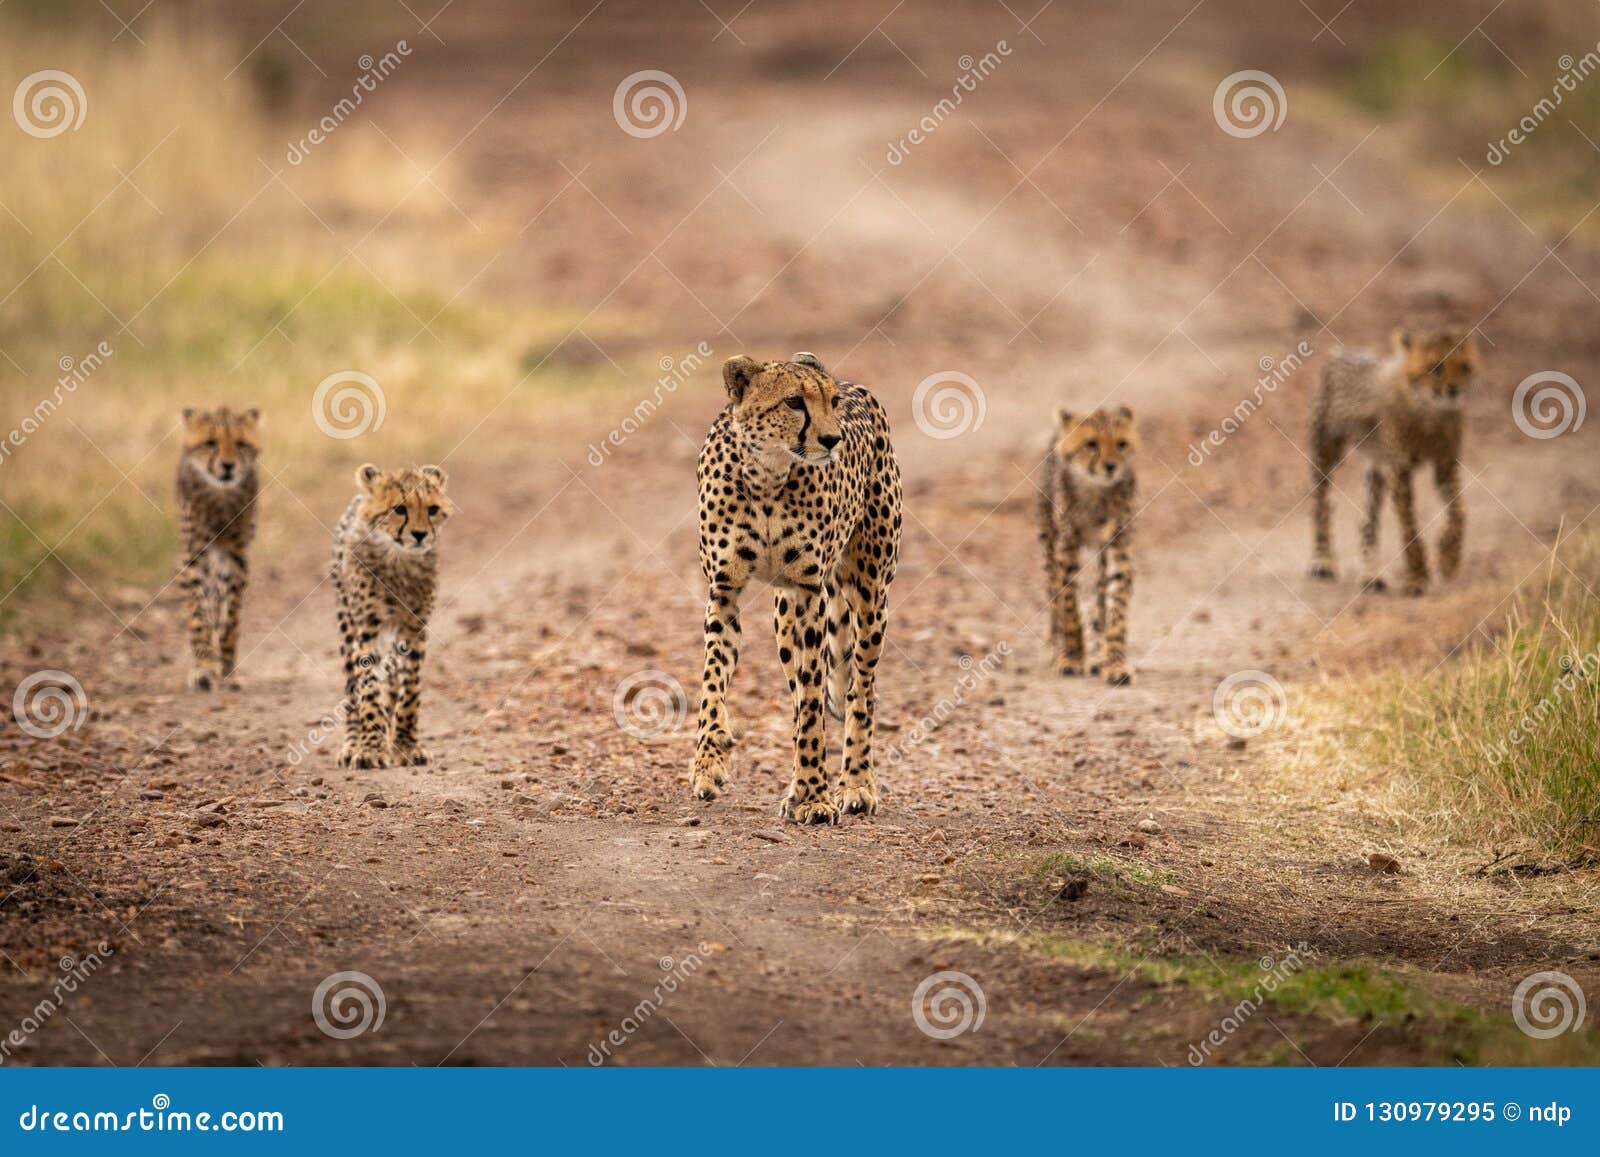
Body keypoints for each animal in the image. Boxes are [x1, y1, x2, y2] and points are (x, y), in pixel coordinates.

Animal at [175, 406, 261, 692]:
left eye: (241, 444)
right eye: (211, 443)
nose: (228, 466)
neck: (220, 494)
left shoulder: (236, 556)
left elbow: (230, 618)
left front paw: (227, 670)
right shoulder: (193, 556)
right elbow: (198, 616)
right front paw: (204, 668)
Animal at [331, 463, 453, 770]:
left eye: (432, 509)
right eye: (399, 509)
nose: (420, 535)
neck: (398, 556)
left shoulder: (414, 628)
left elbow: (409, 691)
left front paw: (405, 745)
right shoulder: (365, 629)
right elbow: (367, 689)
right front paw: (370, 748)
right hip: (346, 622)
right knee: (352, 686)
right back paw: (353, 742)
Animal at [692, 351, 903, 825]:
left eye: (832, 401)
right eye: (793, 402)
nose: (831, 439)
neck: (767, 476)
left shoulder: (811, 592)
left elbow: (811, 701)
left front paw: (815, 795)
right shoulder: (725, 591)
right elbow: (712, 683)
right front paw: (709, 763)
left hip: (870, 595)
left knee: (861, 689)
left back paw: (855, 785)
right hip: (784, 612)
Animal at [1038, 405, 1138, 685]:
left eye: (1122, 444)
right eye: (1092, 444)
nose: (1111, 466)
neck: (1096, 491)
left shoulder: (1117, 546)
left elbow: (1116, 608)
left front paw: (1114, 663)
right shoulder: (1066, 547)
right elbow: (1070, 607)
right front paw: (1071, 658)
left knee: (1099, 600)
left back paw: (1096, 654)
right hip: (1049, 541)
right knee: (1055, 599)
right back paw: (1058, 649)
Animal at [1309, 328, 1479, 596]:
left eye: (1464, 366)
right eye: (1436, 367)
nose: (1454, 390)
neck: (1429, 411)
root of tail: (1341, 352)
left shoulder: (1445, 465)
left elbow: (1459, 512)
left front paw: (1449, 559)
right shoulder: (1400, 470)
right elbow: (1409, 525)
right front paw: (1418, 576)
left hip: (1376, 469)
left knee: (1367, 522)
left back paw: (1371, 574)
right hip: (1325, 451)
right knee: (1320, 505)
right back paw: (1323, 560)